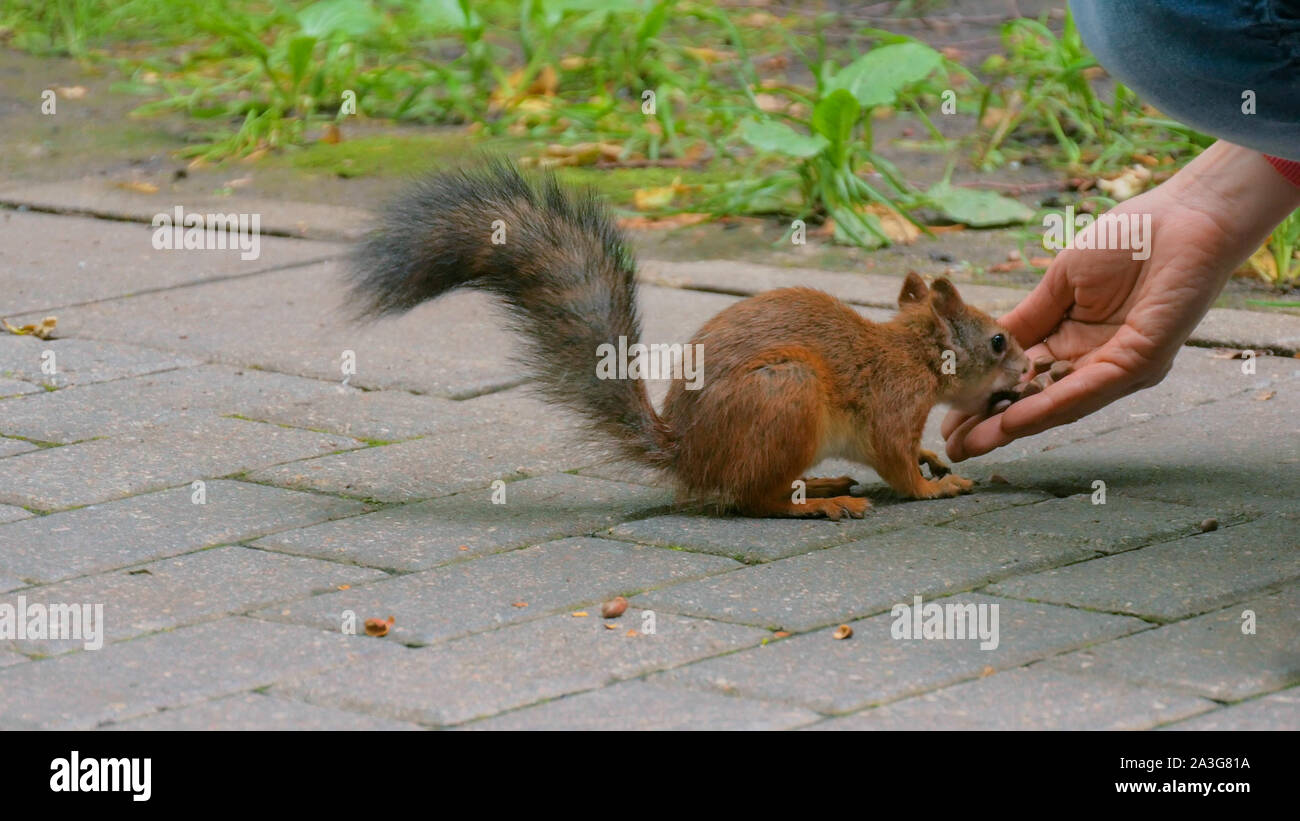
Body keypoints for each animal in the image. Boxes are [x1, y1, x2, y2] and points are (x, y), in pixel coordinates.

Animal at [349, 160, 1030, 520]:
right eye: (999, 341)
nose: (1027, 366)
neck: (914, 353)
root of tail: (688, 452)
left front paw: (934, 457)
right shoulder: (894, 404)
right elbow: (894, 459)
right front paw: (936, 484)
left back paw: (821, 485)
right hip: (785, 395)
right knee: (755, 499)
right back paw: (813, 503)